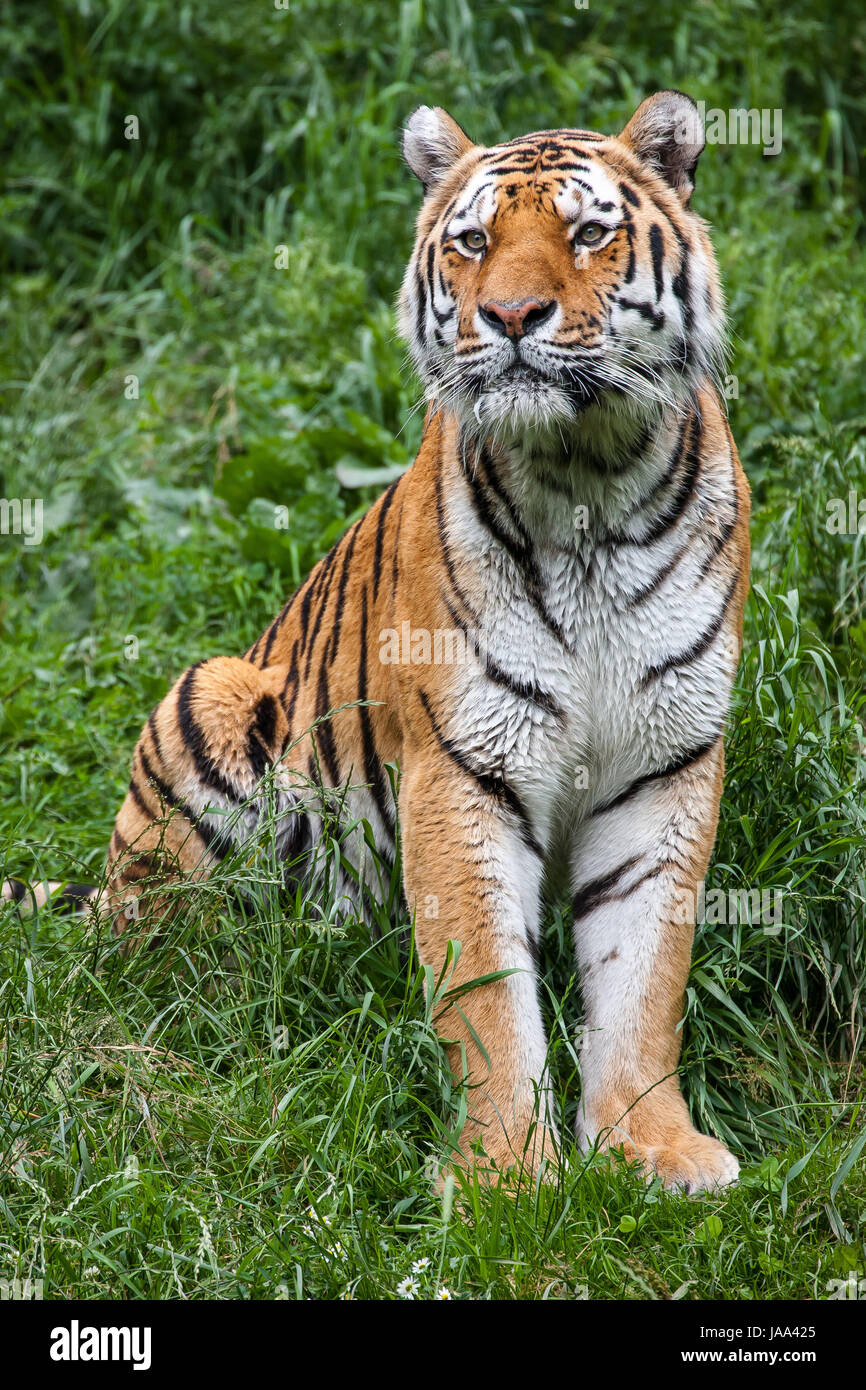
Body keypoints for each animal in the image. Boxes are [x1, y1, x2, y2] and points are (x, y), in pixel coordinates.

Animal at [3, 91, 750, 1193]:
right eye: (475, 242)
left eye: (586, 234)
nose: (511, 318)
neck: (588, 484)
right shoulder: (463, 767)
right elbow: (485, 992)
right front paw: (505, 1180)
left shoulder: (665, 763)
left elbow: (645, 976)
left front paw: (650, 1145)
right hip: (212, 698)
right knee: (155, 941)